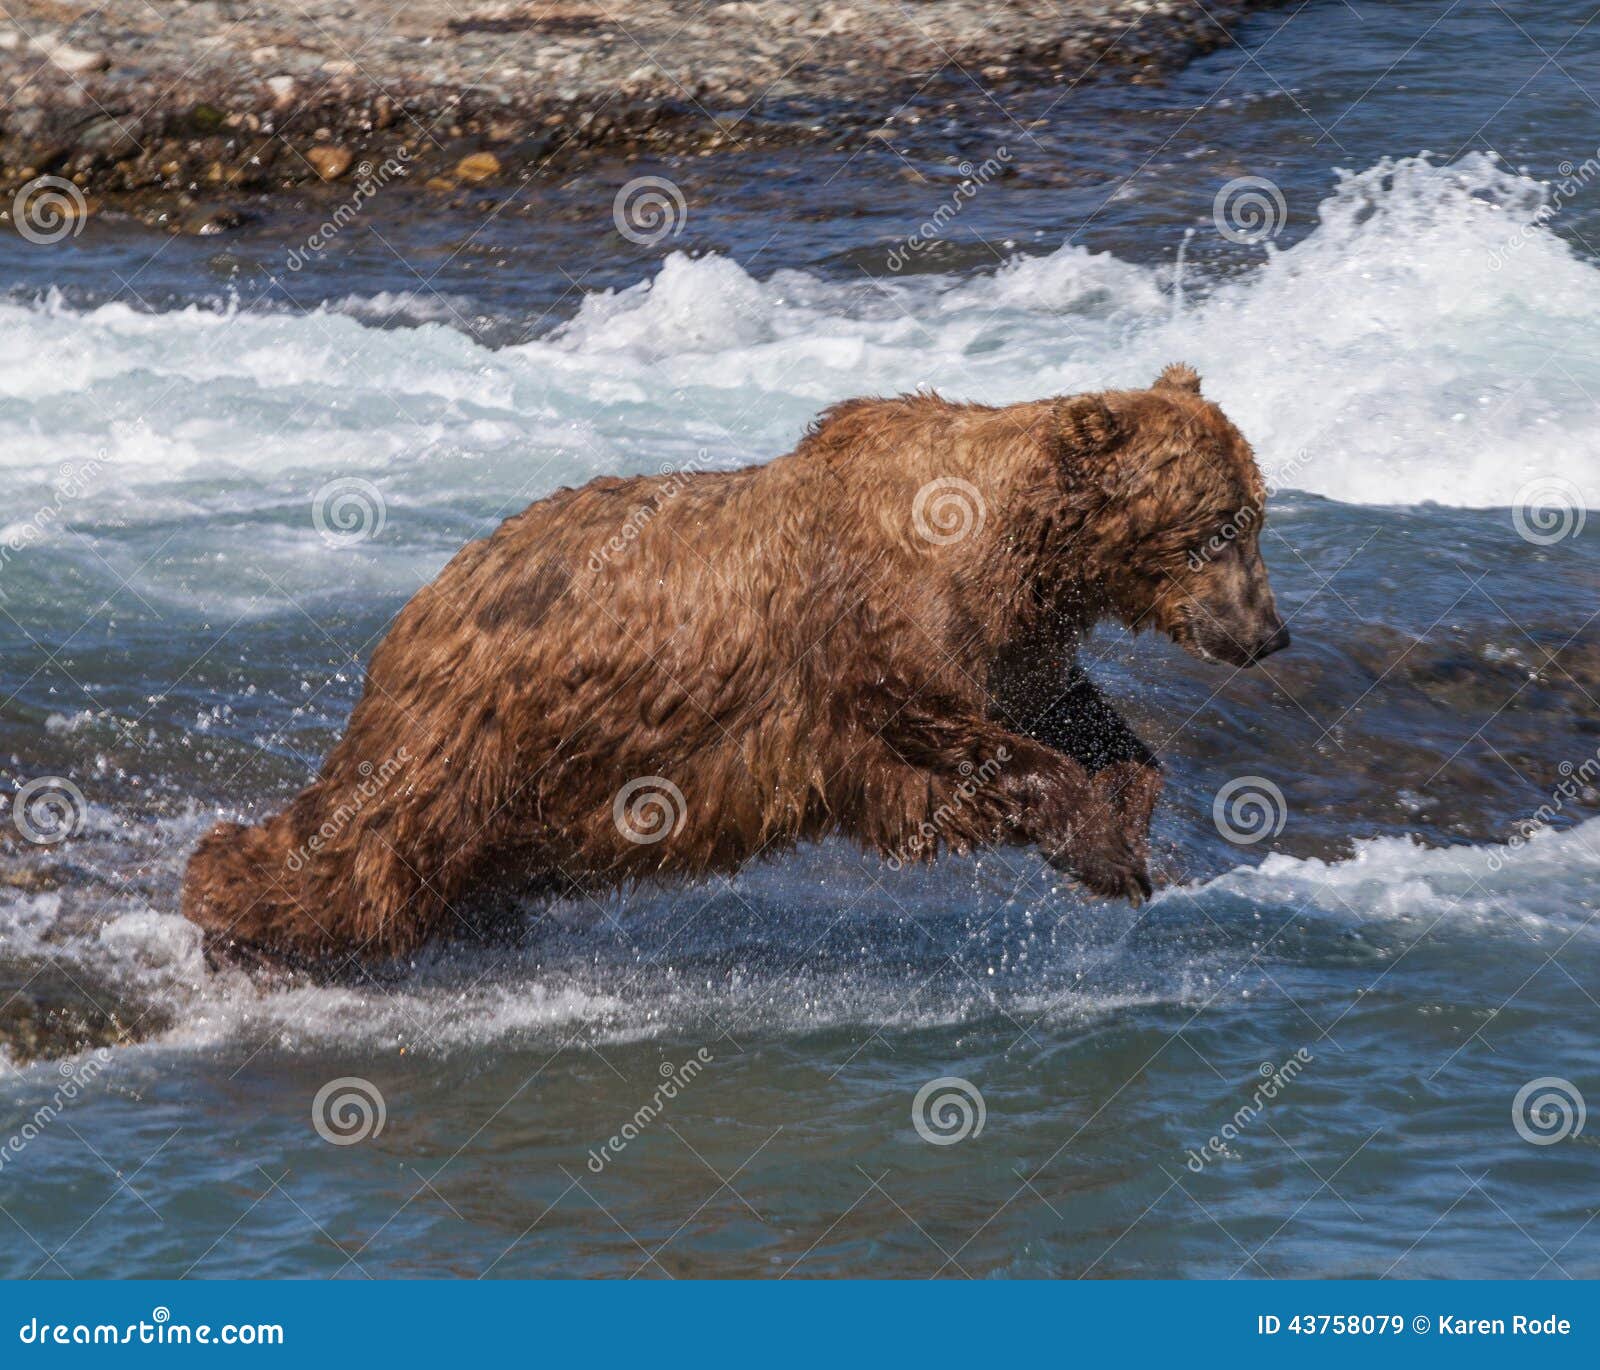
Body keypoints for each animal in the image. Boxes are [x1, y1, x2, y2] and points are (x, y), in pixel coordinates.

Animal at [181, 362, 1288, 968]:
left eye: (1256, 513)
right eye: (1221, 525)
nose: (1269, 633)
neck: (1028, 551)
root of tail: (428, 591)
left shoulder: (1018, 639)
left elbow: (1082, 719)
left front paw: (1129, 825)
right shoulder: (877, 634)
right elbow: (946, 726)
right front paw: (1099, 848)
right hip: (471, 728)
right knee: (366, 849)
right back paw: (230, 913)